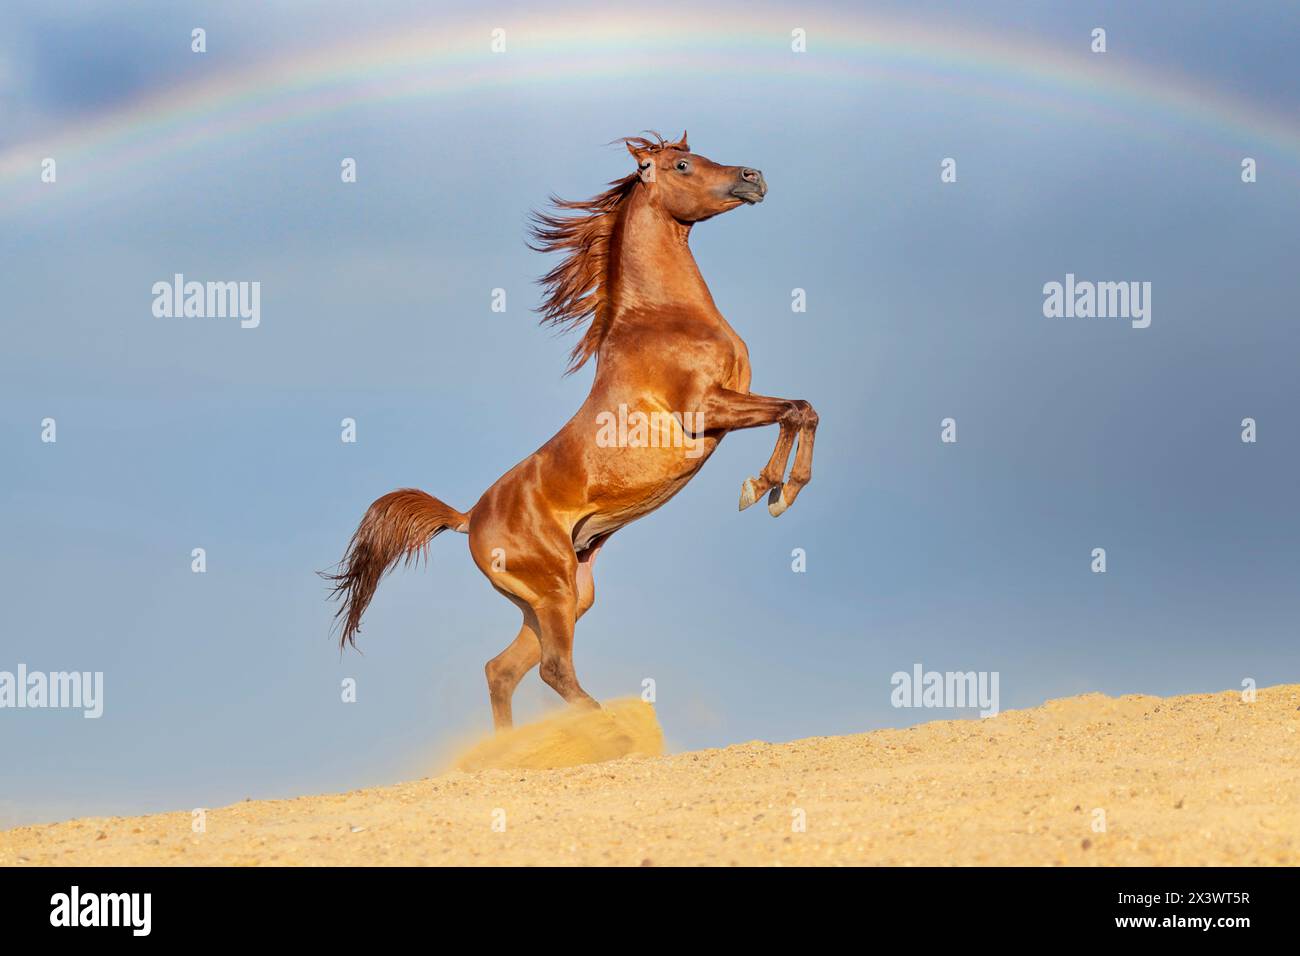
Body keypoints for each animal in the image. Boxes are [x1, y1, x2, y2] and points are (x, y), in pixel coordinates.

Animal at [324, 132, 819, 730]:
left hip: (562, 597)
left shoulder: (734, 401)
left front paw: (776, 491)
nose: (753, 178)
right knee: (552, 671)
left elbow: (803, 408)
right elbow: (793, 410)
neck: (663, 316)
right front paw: (765, 490)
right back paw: (611, 730)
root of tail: (468, 519)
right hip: (555, 592)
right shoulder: (706, 409)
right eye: (681, 164)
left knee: (501, 670)